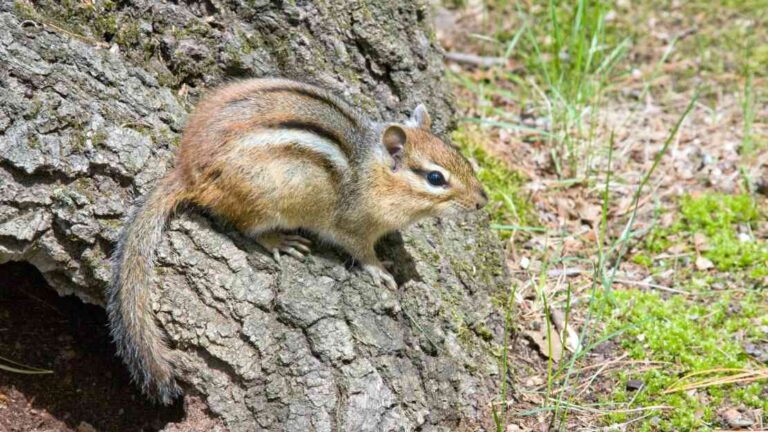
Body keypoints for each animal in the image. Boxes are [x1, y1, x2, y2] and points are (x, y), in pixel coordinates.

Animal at [107, 78, 488, 405]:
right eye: (436, 178)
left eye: (460, 156)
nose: (483, 200)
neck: (373, 173)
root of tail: (187, 170)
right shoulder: (353, 226)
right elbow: (361, 251)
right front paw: (380, 268)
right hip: (271, 198)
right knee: (248, 227)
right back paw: (280, 241)